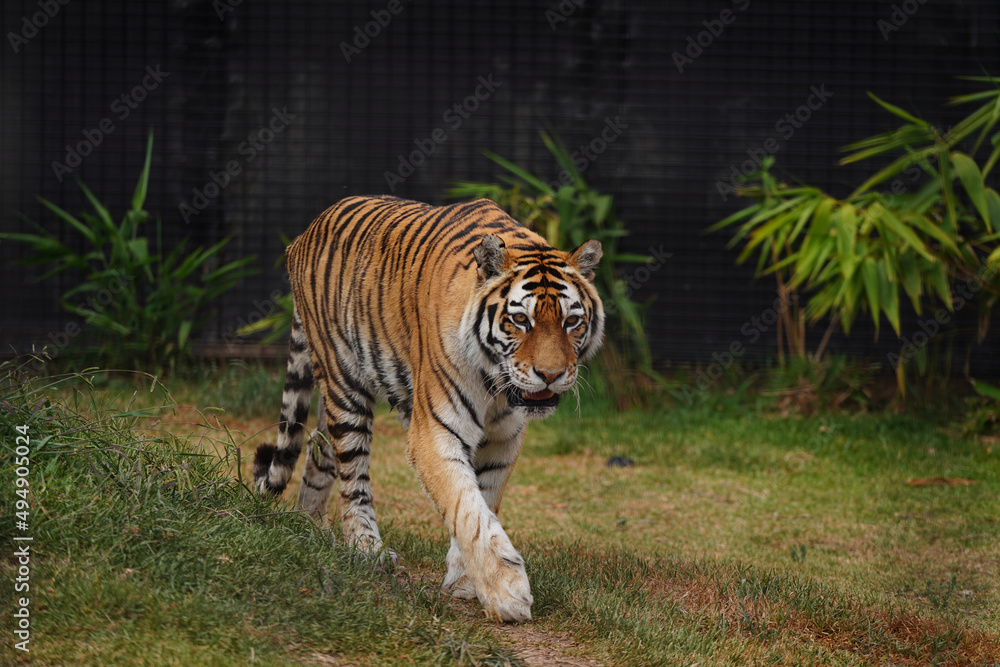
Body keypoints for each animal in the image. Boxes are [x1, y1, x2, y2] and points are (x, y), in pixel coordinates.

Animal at [253, 195, 604, 622]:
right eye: (521, 319)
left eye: (572, 322)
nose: (551, 375)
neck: (496, 385)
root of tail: (307, 230)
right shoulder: (435, 431)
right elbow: (467, 508)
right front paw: (506, 592)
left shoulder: (503, 440)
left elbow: (483, 500)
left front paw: (465, 581)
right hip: (344, 385)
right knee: (353, 476)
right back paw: (366, 548)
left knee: (320, 450)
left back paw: (308, 526)